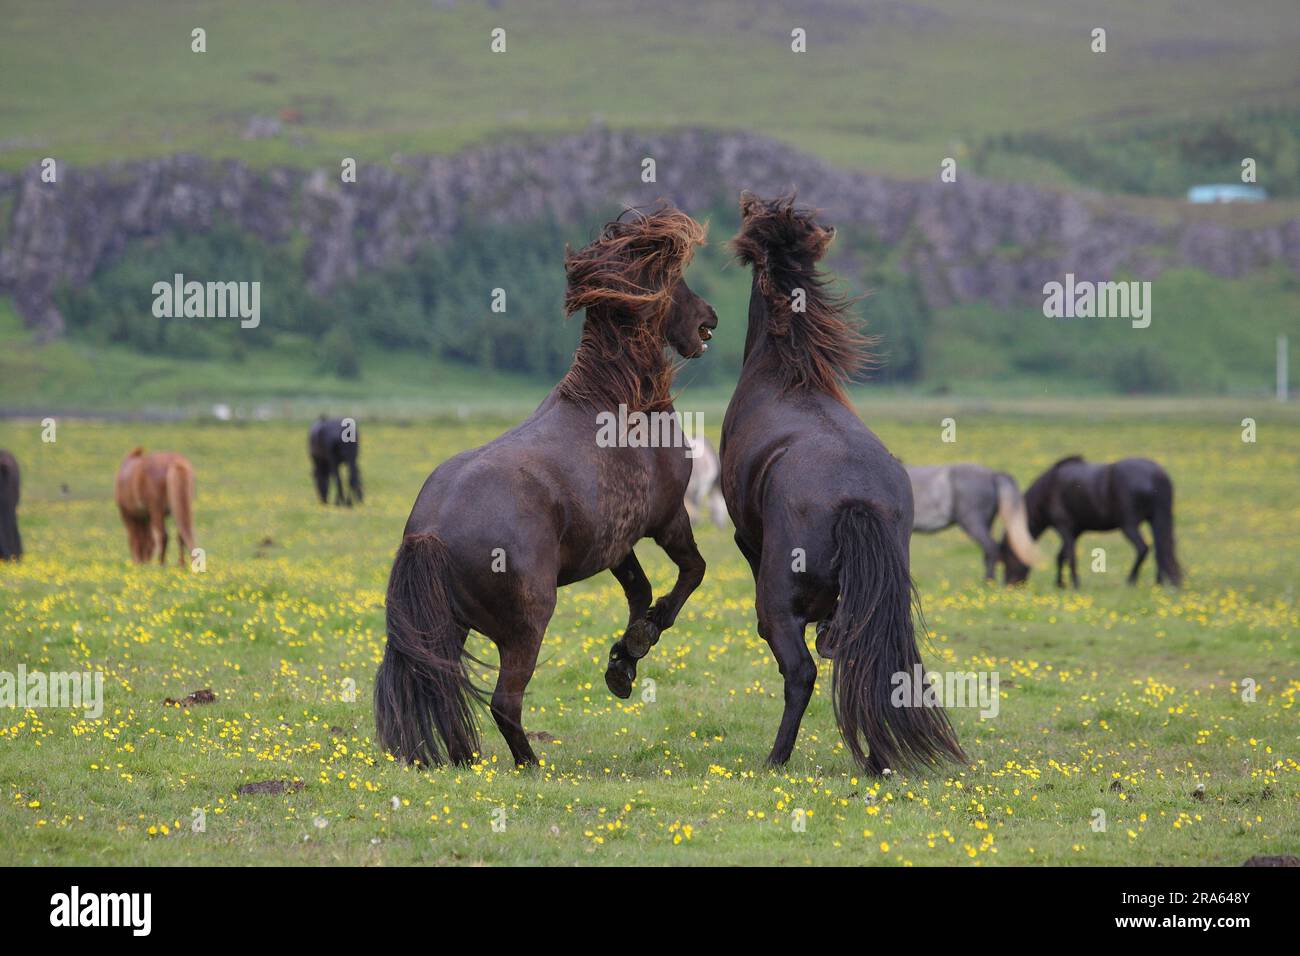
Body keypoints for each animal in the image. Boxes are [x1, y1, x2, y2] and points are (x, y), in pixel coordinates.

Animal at [374, 205, 718, 767]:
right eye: (671, 279)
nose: (709, 319)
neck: (620, 401)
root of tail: (430, 533)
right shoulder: (669, 518)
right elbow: (690, 574)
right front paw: (641, 640)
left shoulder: (615, 542)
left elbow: (640, 589)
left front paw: (623, 662)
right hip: (528, 626)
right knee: (504, 702)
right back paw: (532, 766)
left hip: (448, 629)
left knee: (443, 687)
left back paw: (467, 762)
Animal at [719, 193, 965, 774]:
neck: (784, 376)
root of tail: (856, 497)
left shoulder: (745, 537)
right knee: (868, 666)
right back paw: (879, 761)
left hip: (779, 606)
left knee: (802, 672)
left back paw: (776, 759)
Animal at [1001, 455, 1182, 588]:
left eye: (1008, 557)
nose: (1010, 585)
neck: (1048, 489)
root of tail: (1157, 475)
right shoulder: (1075, 531)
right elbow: (1062, 556)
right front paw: (1060, 584)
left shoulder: (1063, 527)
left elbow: (1069, 556)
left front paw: (1075, 585)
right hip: (1155, 520)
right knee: (1161, 549)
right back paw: (1159, 584)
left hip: (1129, 525)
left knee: (1143, 548)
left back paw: (1131, 581)